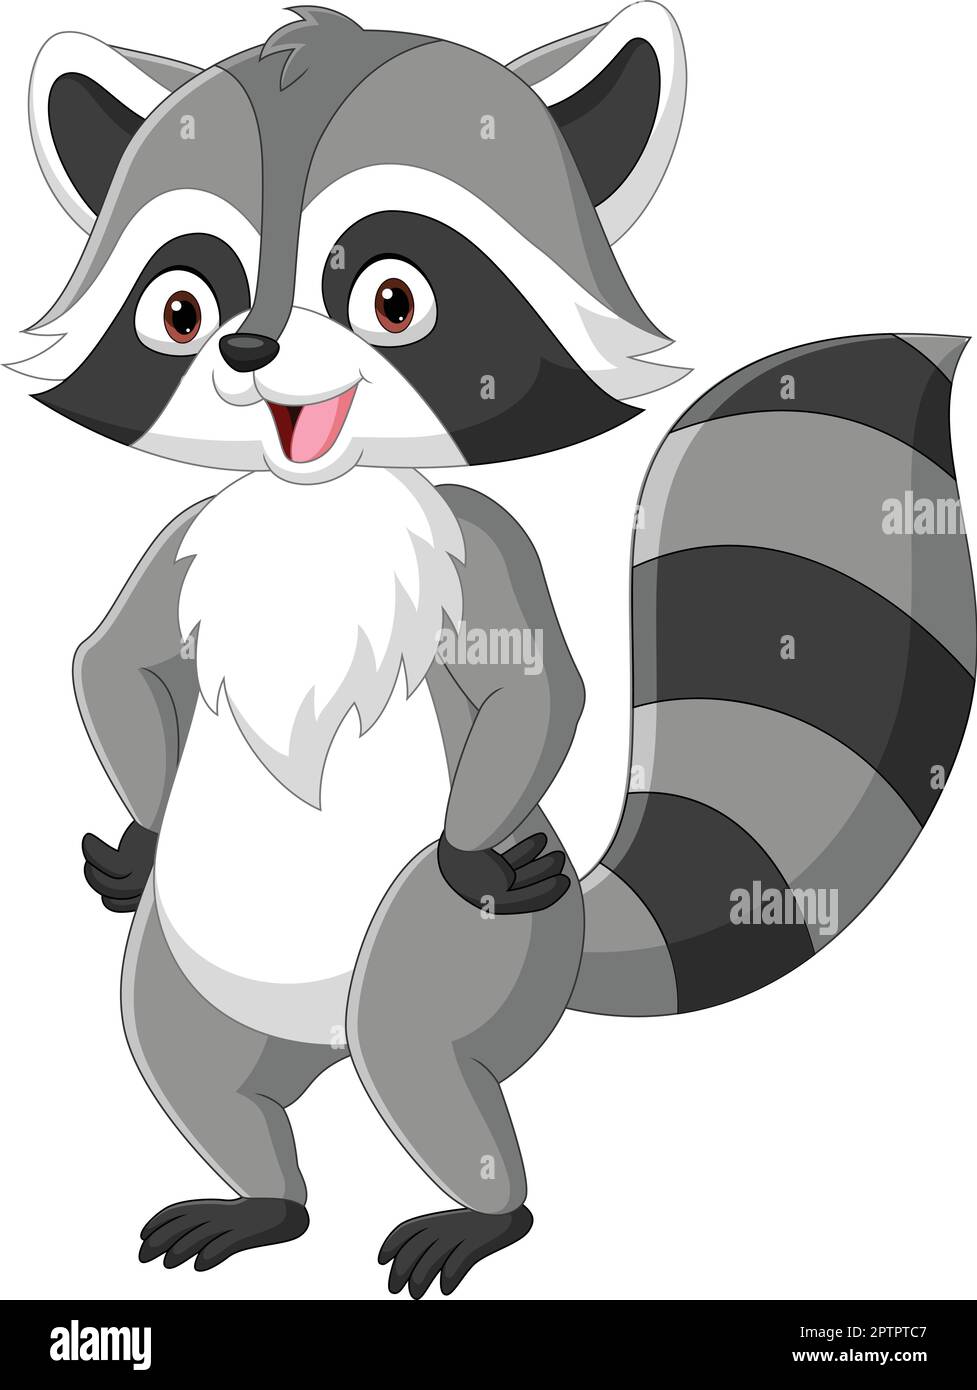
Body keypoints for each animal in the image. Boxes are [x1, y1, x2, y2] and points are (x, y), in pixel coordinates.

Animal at [17, 5, 974, 1297]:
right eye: (182, 308)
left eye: (394, 297)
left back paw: (482, 1209)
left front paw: (474, 843)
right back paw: (264, 1200)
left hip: (467, 949)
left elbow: (534, 683)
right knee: (189, 1061)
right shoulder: (189, 543)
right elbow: (108, 662)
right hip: (191, 966)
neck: (317, 500)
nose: (249, 349)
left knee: (408, 1042)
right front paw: (142, 836)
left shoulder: (475, 550)